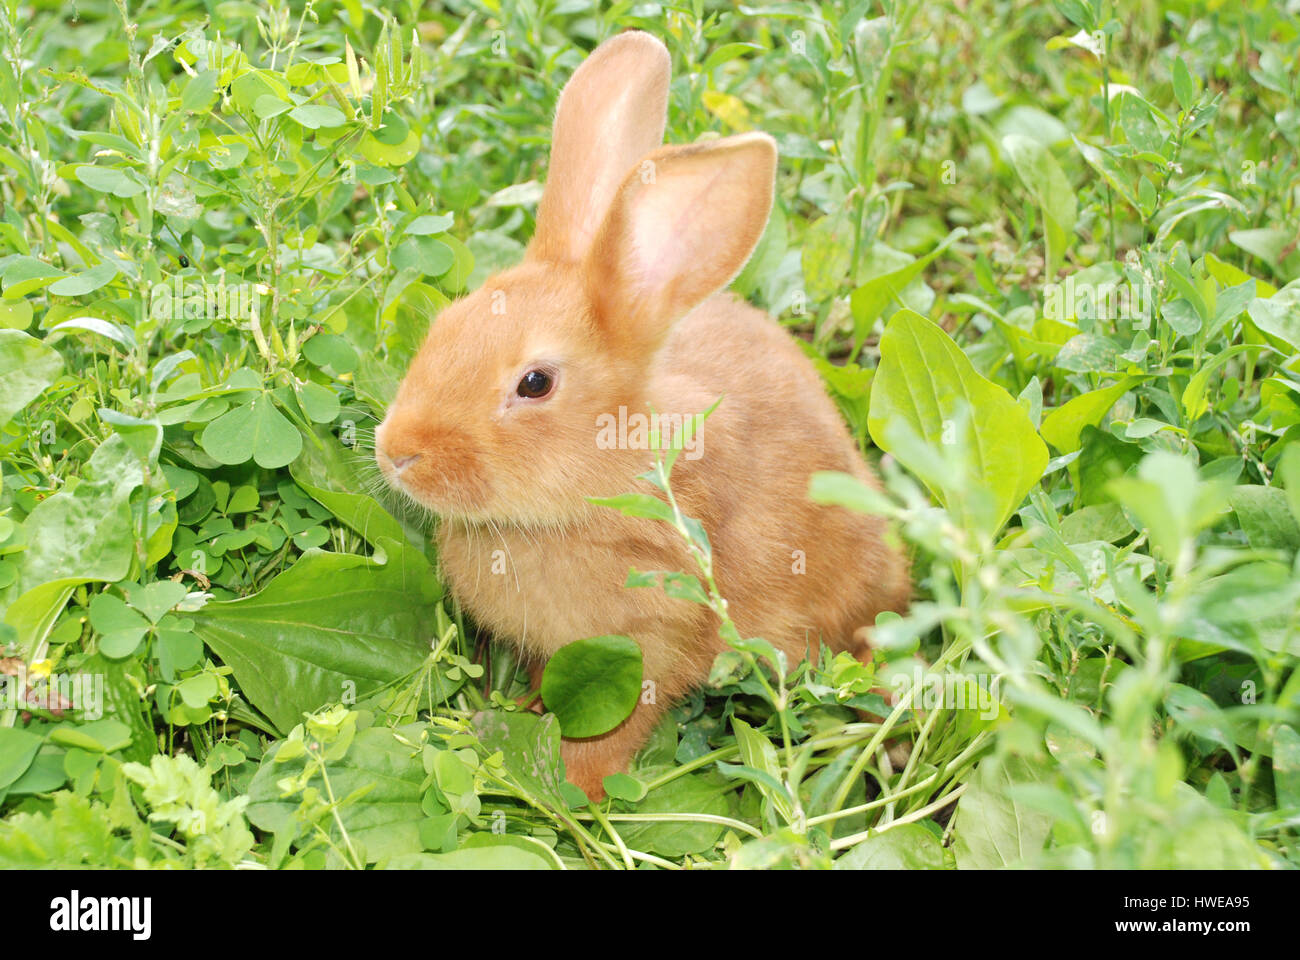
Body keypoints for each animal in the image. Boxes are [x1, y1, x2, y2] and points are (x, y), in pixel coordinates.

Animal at [375, 30, 910, 801]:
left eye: (534, 383)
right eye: (445, 324)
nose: (396, 452)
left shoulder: (657, 640)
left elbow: (624, 721)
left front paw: (582, 783)